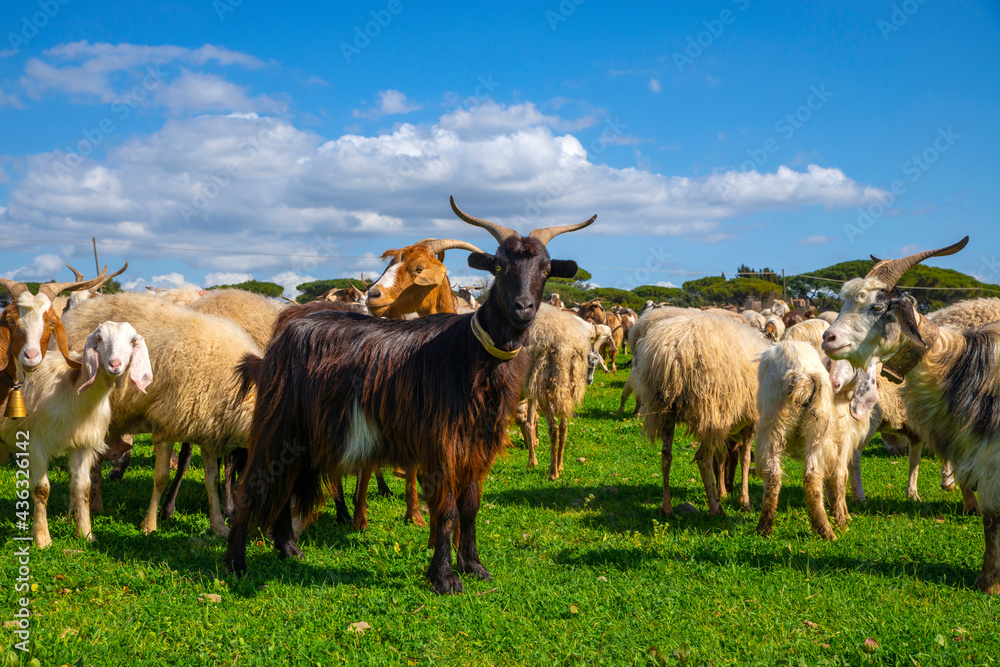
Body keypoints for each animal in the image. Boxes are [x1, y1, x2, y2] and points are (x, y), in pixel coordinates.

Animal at [0, 321, 152, 547]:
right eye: (99, 338)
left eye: (133, 340)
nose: (114, 364)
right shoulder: (36, 441)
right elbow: (42, 489)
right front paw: (42, 539)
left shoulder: (83, 444)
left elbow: (83, 488)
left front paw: (86, 533)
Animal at [61, 292, 262, 537]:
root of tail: (76, 314)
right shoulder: (166, 426)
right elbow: (161, 478)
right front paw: (149, 525)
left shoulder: (208, 431)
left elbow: (212, 480)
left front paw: (218, 526)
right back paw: (73, 512)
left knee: (95, 462)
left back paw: (96, 505)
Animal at [514, 304, 593, 480]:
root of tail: (563, 341)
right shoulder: (531, 388)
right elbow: (530, 422)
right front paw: (532, 460)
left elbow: (529, 422)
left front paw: (532, 462)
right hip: (567, 383)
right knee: (564, 427)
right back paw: (560, 465)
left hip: (543, 380)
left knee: (554, 428)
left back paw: (553, 472)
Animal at [631, 314, 770, 515]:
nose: (730, 487)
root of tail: (673, 351)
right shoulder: (752, 421)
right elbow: (745, 458)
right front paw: (744, 501)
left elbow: (725, 457)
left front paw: (725, 493)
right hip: (709, 408)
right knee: (703, 458)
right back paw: (715, 509)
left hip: (666, 408)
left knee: (666, 455)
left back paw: (667, 507)